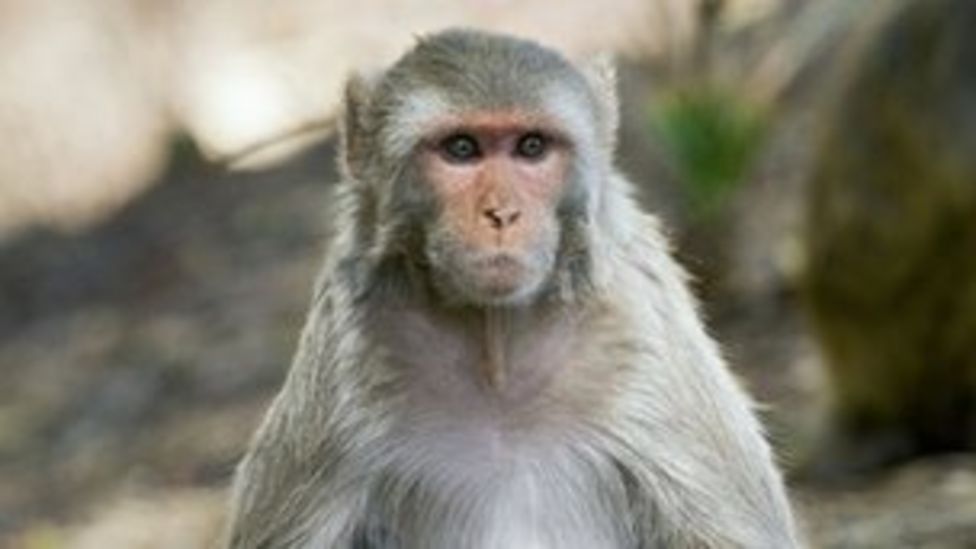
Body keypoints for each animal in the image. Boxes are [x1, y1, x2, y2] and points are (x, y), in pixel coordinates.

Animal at [223, 29, 799, 549]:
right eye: (461, 149)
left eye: (531, 147)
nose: (502, 213)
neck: (496, 338)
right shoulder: (348, 342)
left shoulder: (642, 328)